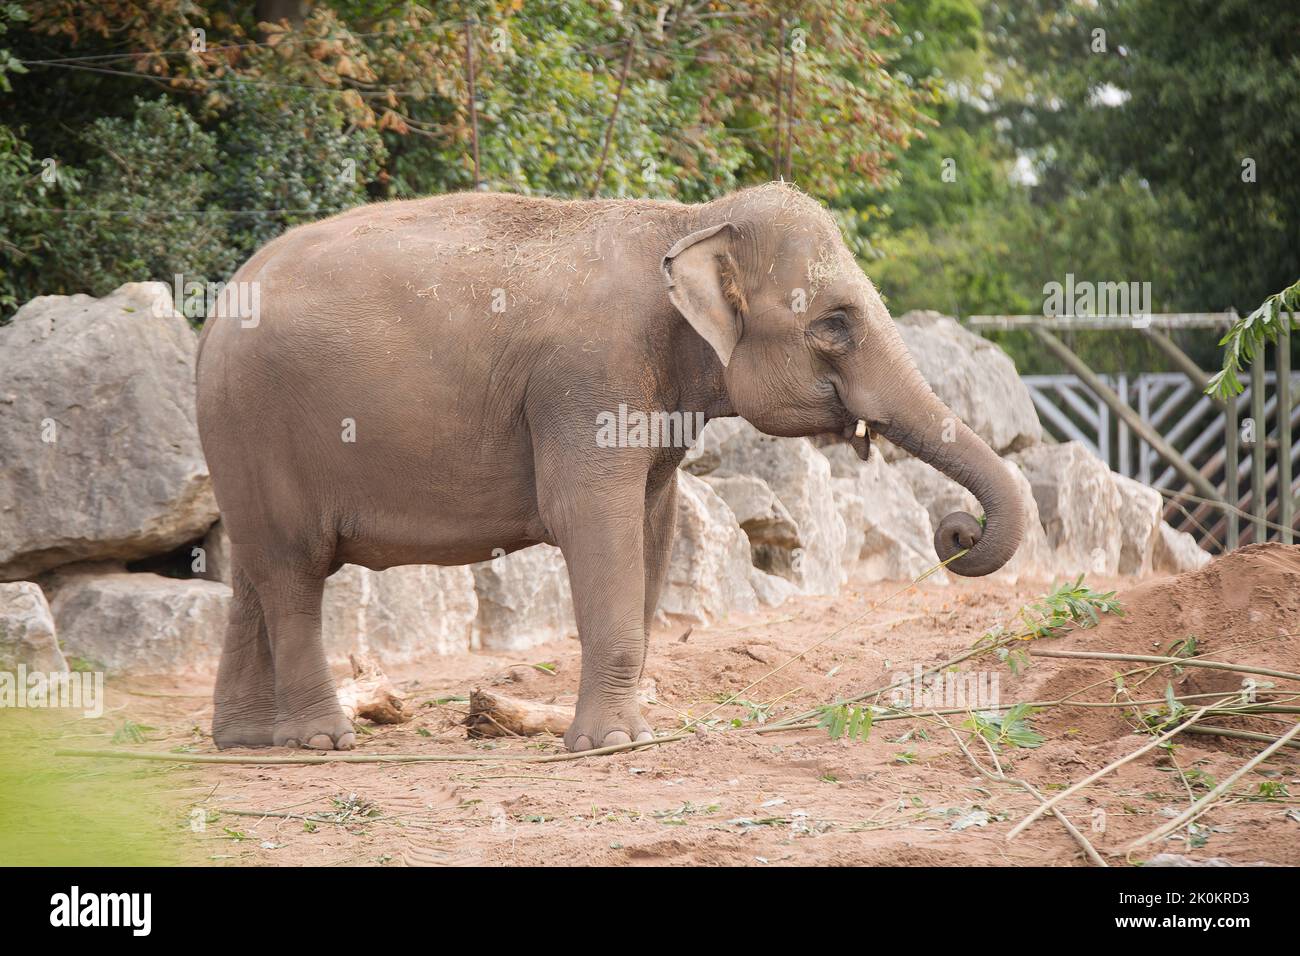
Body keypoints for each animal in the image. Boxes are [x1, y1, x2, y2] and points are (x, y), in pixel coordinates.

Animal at [195, 183, 1024, 753]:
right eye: (835, 324)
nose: (956, 530)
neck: (689, 219)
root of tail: (214, 311)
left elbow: (655, 523)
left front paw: (630, 728)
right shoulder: (588, 381)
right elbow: (593, 517)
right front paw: (612, 744)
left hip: (239, 442)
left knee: (255, 571)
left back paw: (244, 741)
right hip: (259, 423)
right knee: (293, 571)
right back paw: (322, 741)